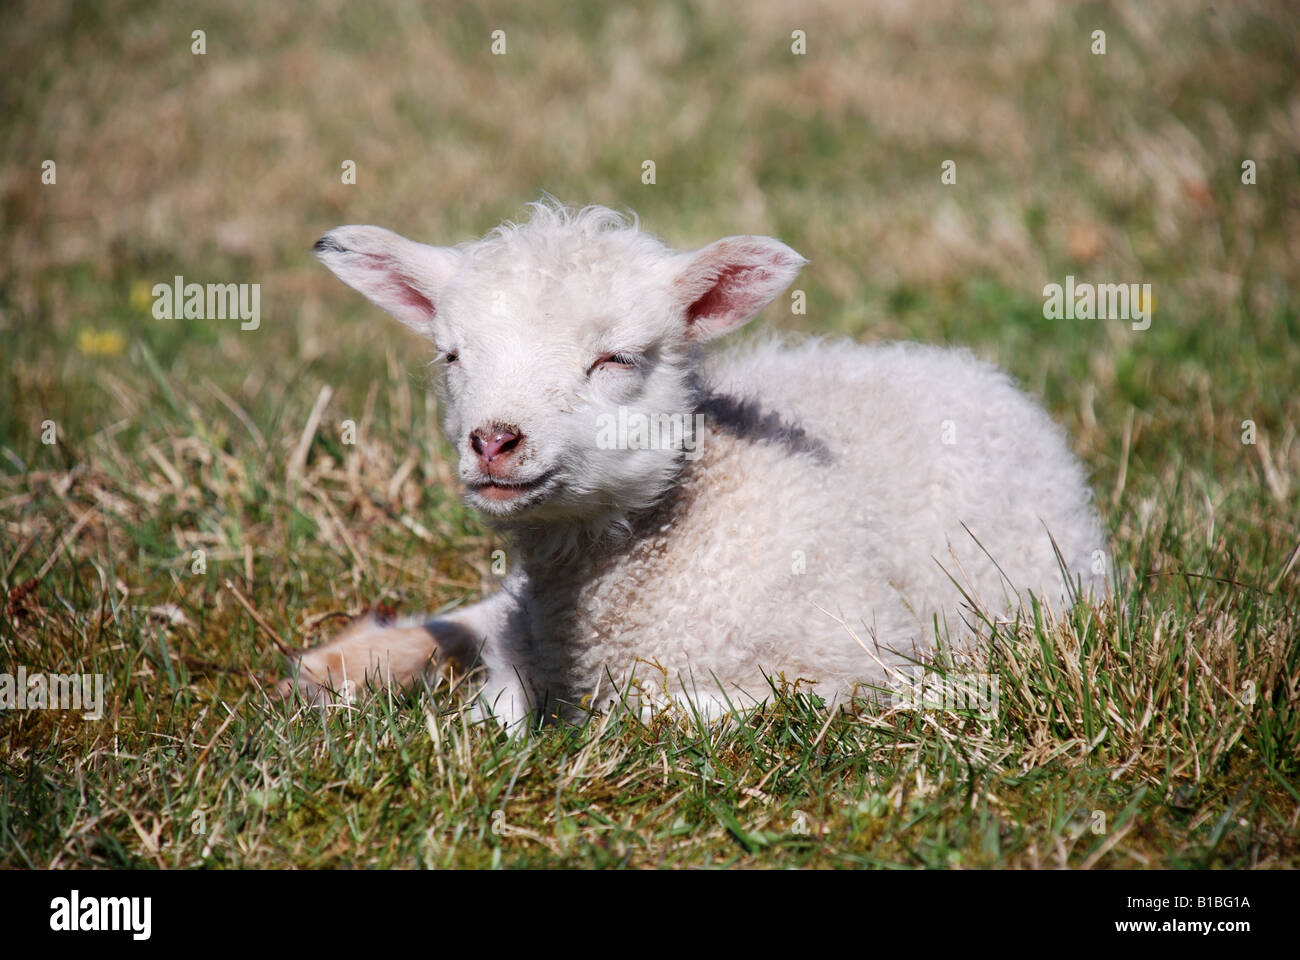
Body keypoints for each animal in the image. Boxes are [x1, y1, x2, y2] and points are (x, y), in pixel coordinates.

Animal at [280, 200, 1108, 727]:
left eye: (616, 358)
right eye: (453, 356)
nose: (494, 440)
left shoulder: (853, 660)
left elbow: (655, 708)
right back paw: (344, 664)